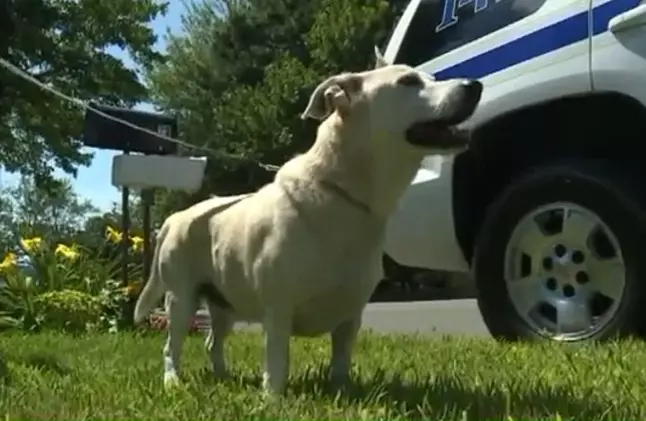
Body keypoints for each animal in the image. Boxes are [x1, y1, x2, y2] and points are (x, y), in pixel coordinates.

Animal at [134, 49, 484, 394]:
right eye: (408, 81)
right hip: (181, 299)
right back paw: (172, 381)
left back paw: (223, 376)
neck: (342, 195)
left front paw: (341, 393)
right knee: (172, 346)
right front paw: (273, 399)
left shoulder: (350, 317)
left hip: (223, 303)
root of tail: (176, 218)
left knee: (212, 341)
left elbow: (341, 362)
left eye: (431, 78)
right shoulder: (278, 309)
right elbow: (277, 362)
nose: (474, 85)